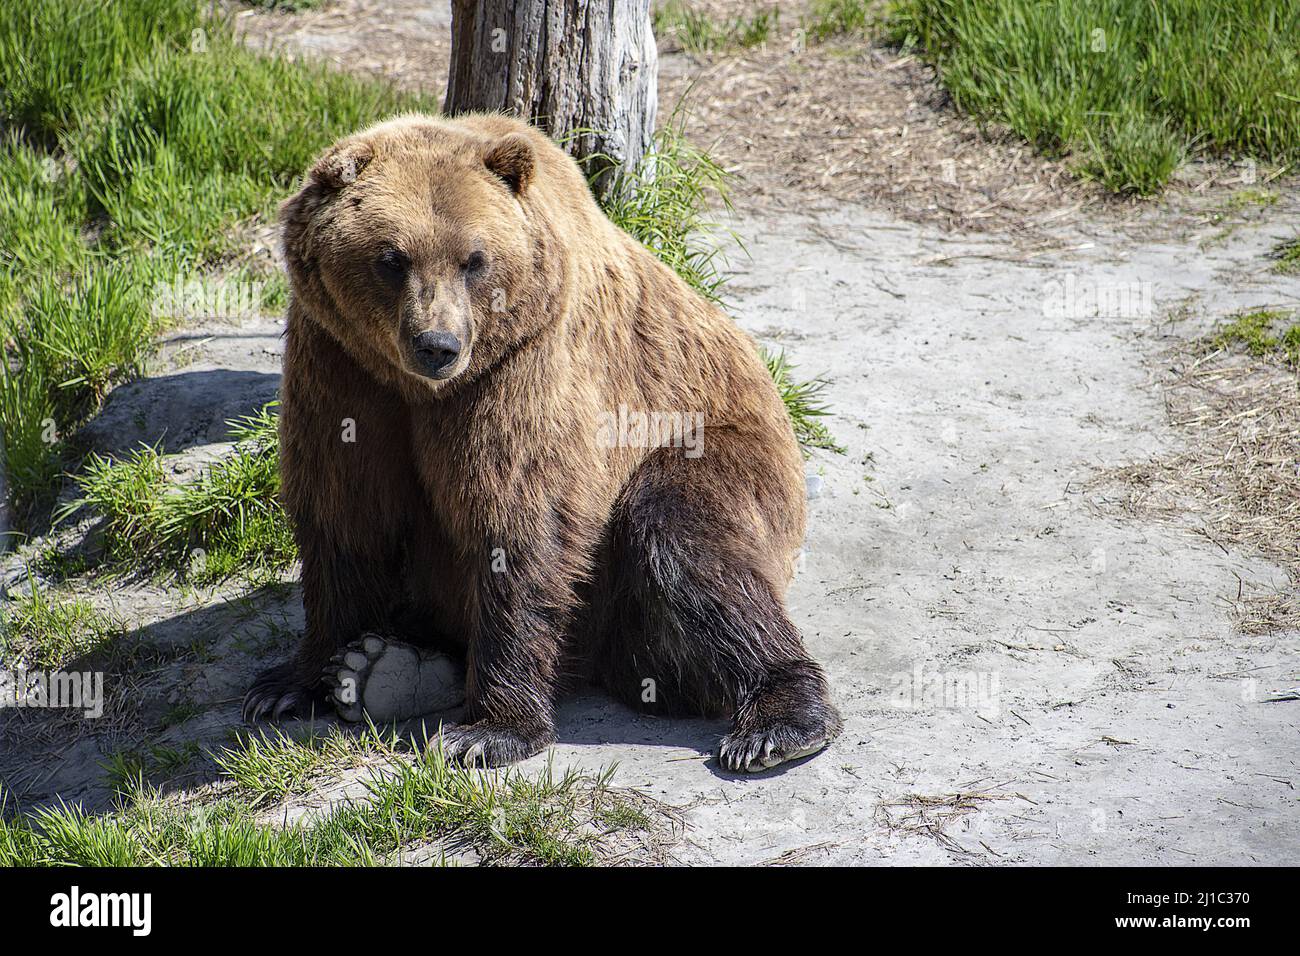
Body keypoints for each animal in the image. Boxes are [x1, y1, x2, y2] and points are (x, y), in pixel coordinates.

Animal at [242, 112, 842, 772]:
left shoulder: (524, 363)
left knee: (688, 543)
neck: (418, 390)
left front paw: (488, 731)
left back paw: (778, 721)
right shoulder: (340, 366)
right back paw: (384, 668)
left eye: (473, 259)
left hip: (716, 452)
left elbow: (519, 519)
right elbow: (344, 513)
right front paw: (291, 683)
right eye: (392, 258)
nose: (437, 345)